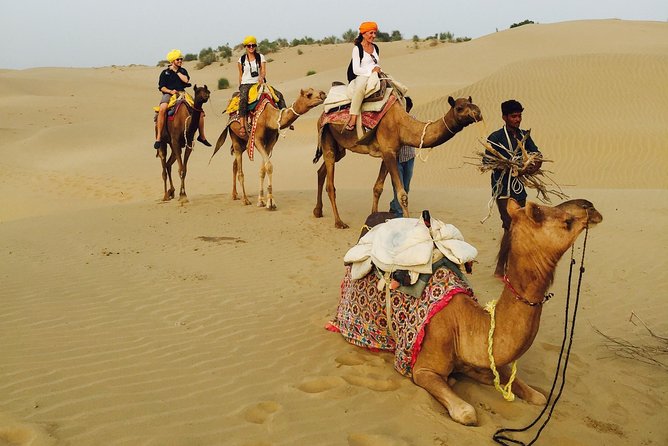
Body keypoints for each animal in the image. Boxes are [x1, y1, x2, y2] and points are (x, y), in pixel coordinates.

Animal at [312, 96, 482, 228]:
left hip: (340, 148)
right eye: (460, 108)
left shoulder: (389, 153)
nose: (478, 113)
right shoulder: (388, 152)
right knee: (330, 184)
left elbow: (378, 188)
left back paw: (318, 211)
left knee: (321, 171)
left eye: (472, 103)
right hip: (327, 138)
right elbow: (402, 195)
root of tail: (321, 115)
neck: (402, 126)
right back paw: (339, 222)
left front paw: (373, 218)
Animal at [333, 198, 602, 425]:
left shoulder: (487, 359)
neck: (465, 324)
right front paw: (454, 383)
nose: (589, 206)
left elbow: (538, 397)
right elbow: (467, 413)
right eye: (539, 211)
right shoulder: (423, 368)